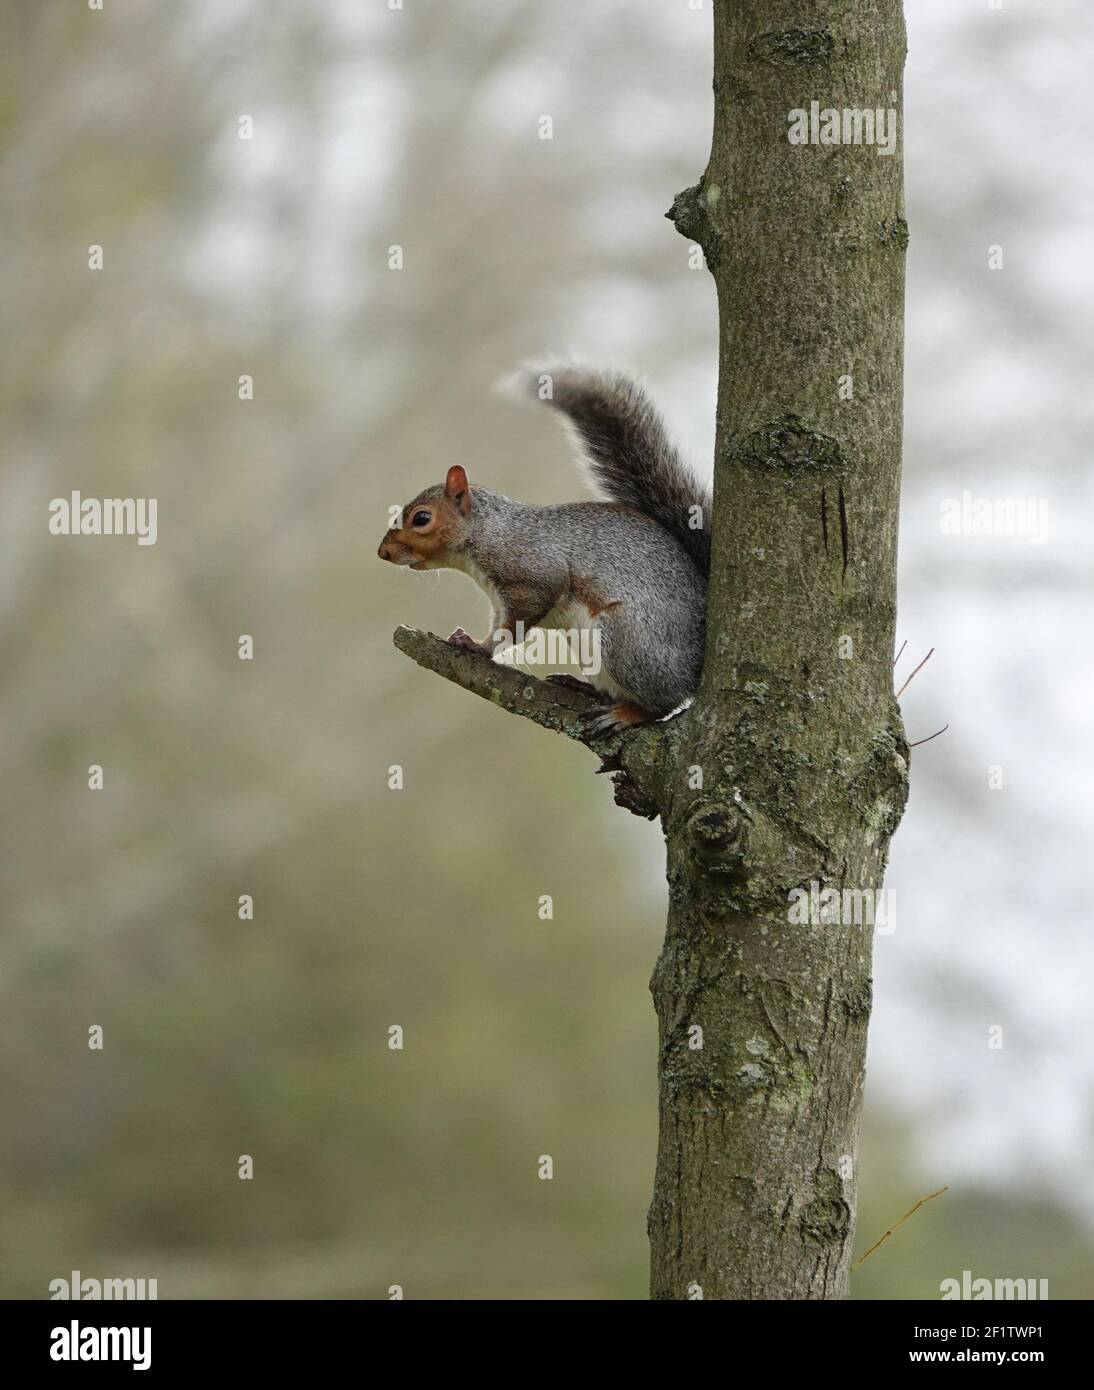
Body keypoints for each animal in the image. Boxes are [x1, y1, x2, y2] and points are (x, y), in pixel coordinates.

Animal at [378, 368, 710, 734]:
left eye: (421, 518)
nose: (383, 552)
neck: (485, 535)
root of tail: (695, 665)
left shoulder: (532, 574)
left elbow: (515, 624)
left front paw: (478, 647)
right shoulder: (499, 600)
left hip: (627, 640)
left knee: (663, 703)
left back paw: (626, 713)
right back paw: (583, 688)